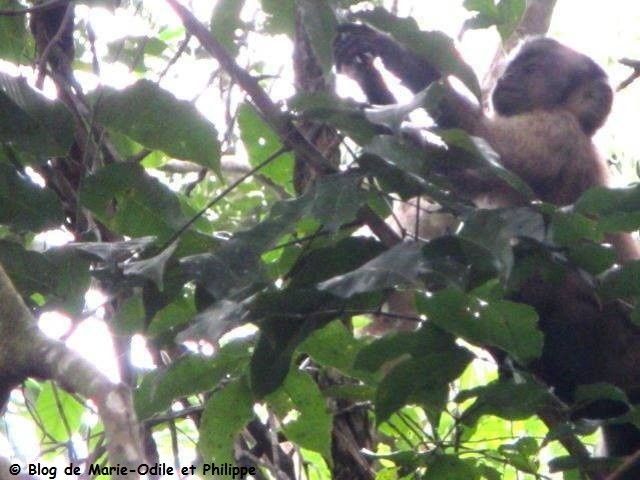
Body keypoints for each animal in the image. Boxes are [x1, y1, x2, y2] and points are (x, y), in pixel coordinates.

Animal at [334, 22, 640, 475]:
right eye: (513, 68)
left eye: (530, 68)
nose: (504, 79)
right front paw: (368, 80)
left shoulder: (557, 131)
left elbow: (479, 138)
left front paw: (394, 54)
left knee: (534, 262)